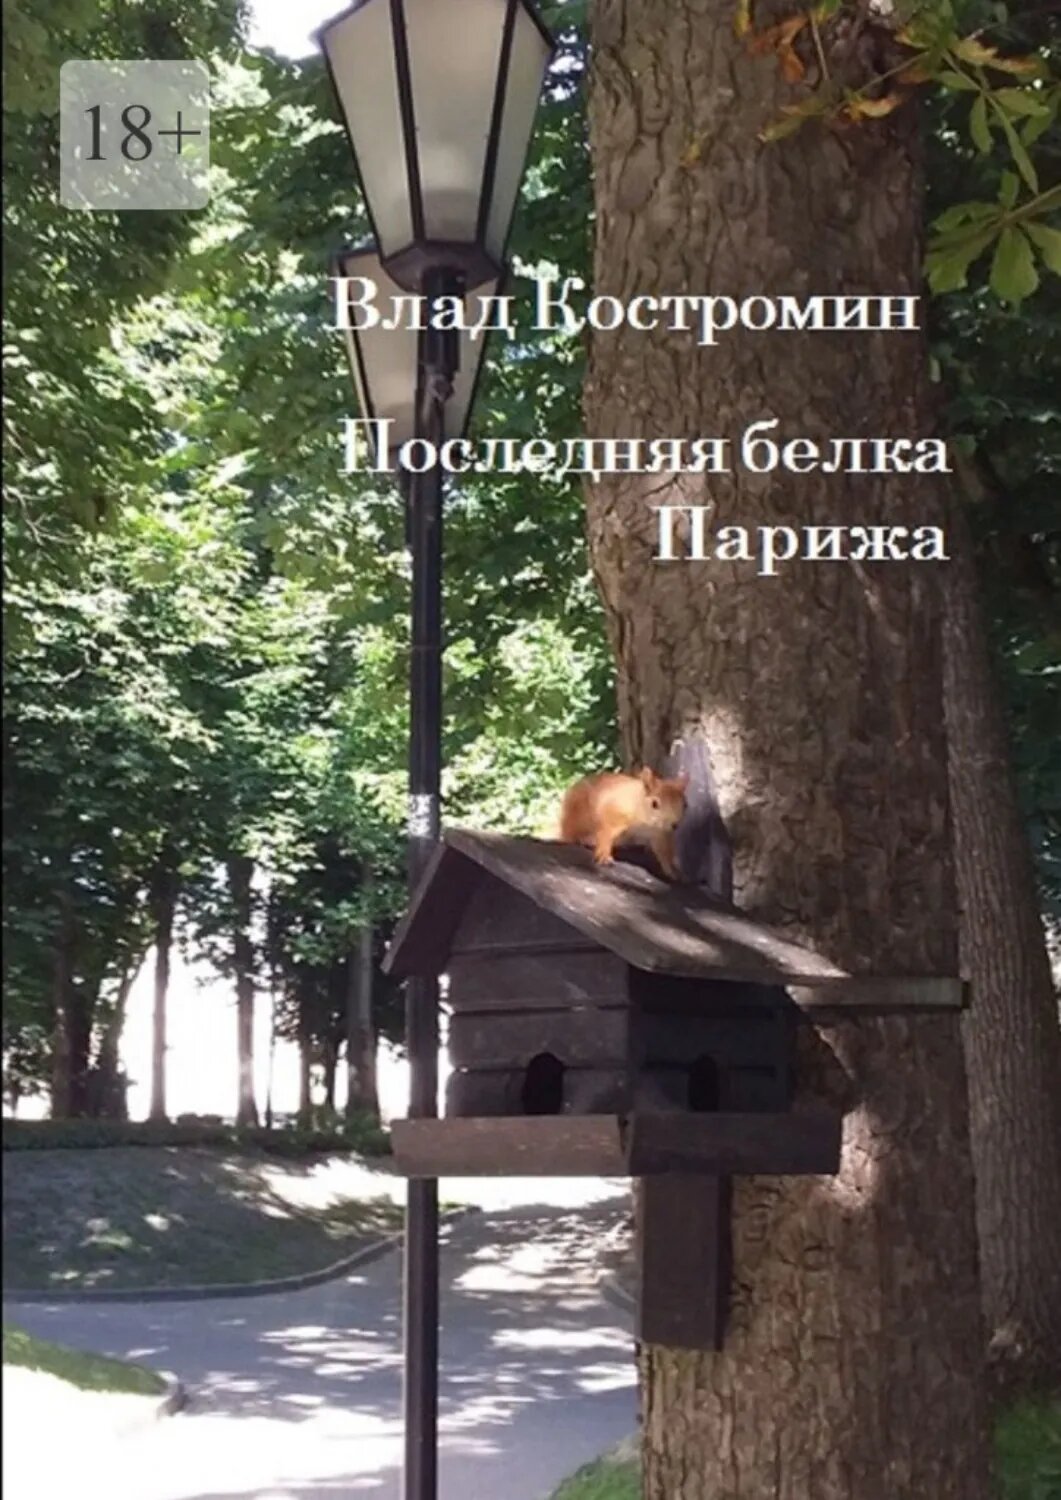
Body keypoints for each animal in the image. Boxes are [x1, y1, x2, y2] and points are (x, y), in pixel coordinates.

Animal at [558, 767, 688, 881]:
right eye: (654, 804)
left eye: (685, 805)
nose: (674, 825)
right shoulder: (614, 812)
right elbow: (606, 834)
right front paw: (604, 855)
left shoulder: (660, 834)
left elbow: (665, 852)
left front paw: (672, 871)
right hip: (578, 815)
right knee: (572, 833)